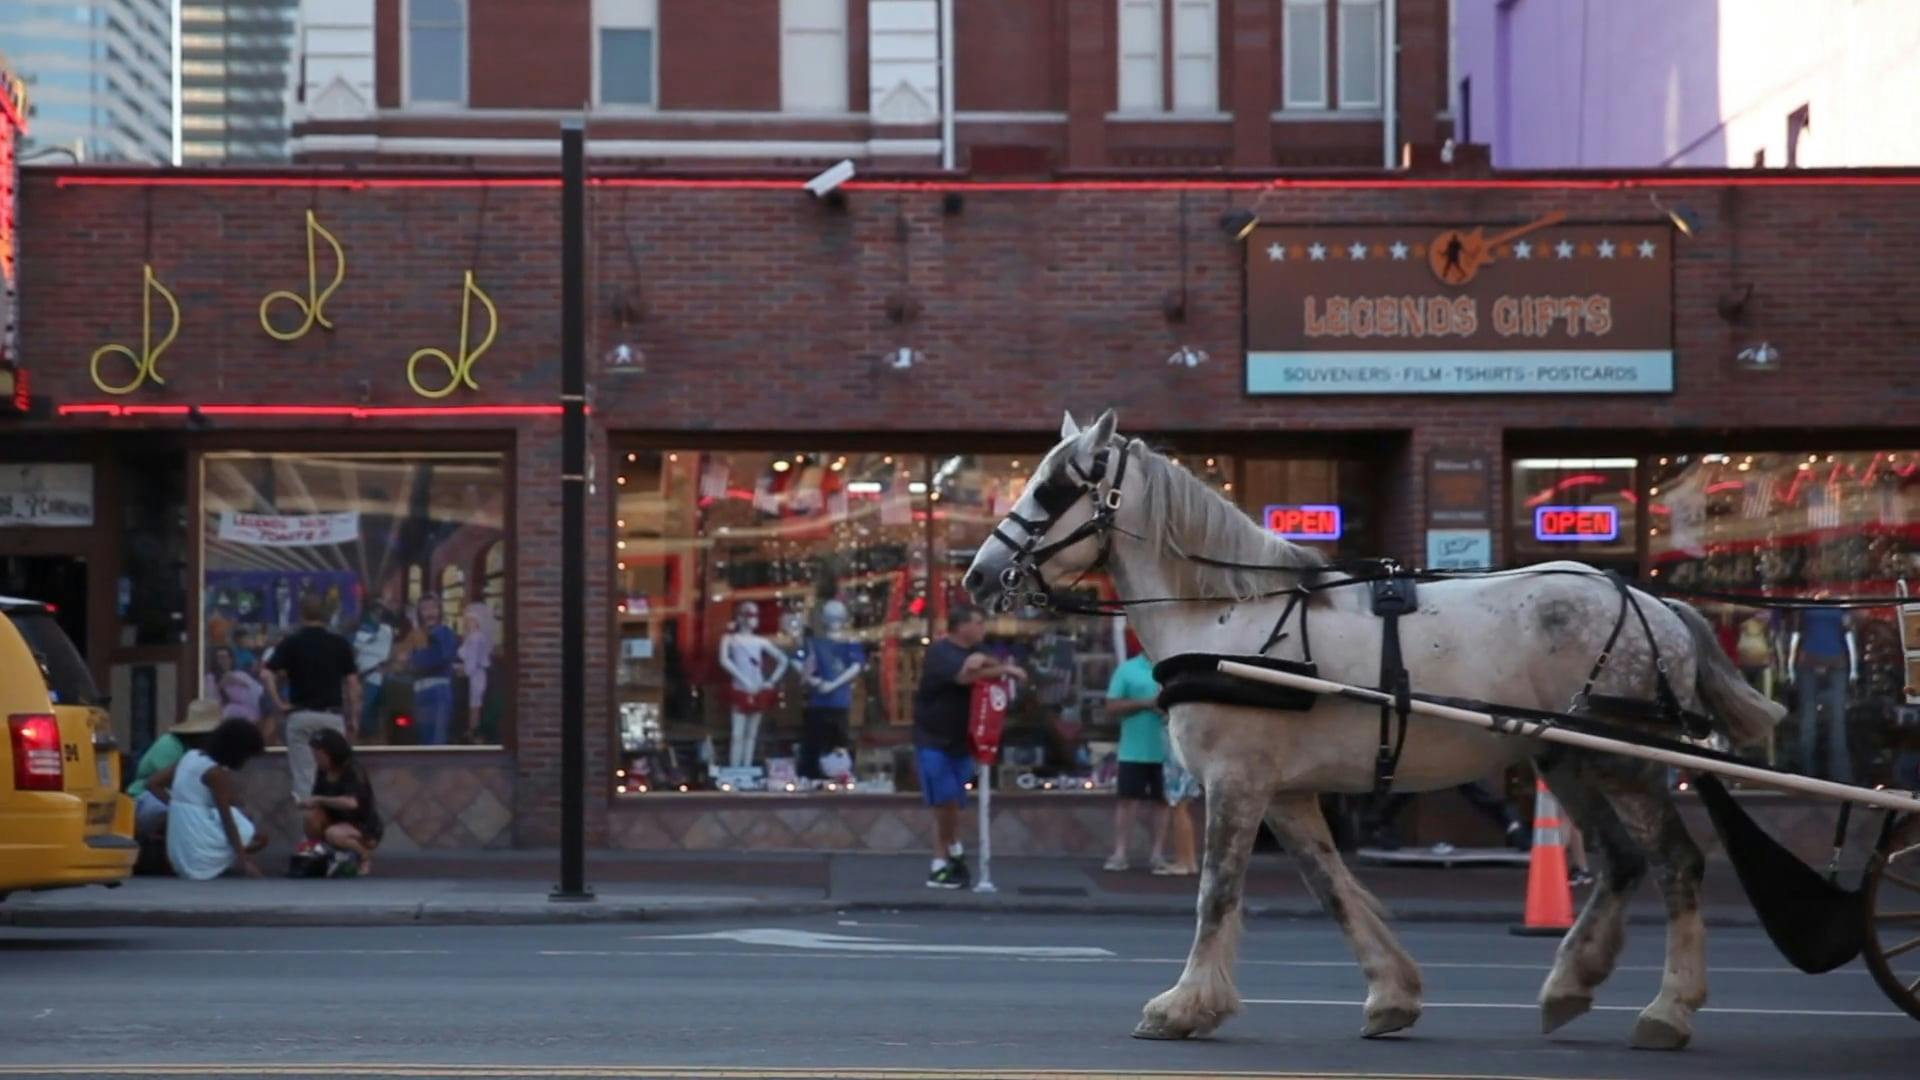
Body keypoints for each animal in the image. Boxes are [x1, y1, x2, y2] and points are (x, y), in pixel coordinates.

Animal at [961, 410, 1784, 1051]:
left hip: (1626, 763)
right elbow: (1334, 890)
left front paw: (1184, 1006)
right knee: (1620, 861)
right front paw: (1392, 995)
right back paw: (1569, 985)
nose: (978, 575)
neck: (1228, 617)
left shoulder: (1236, 782)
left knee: (1676, 863)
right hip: (1567, 757)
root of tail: (1654, 603)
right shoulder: (1285, 794)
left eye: (1054, 488)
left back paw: (1668, 1009)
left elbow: (1217, 892)